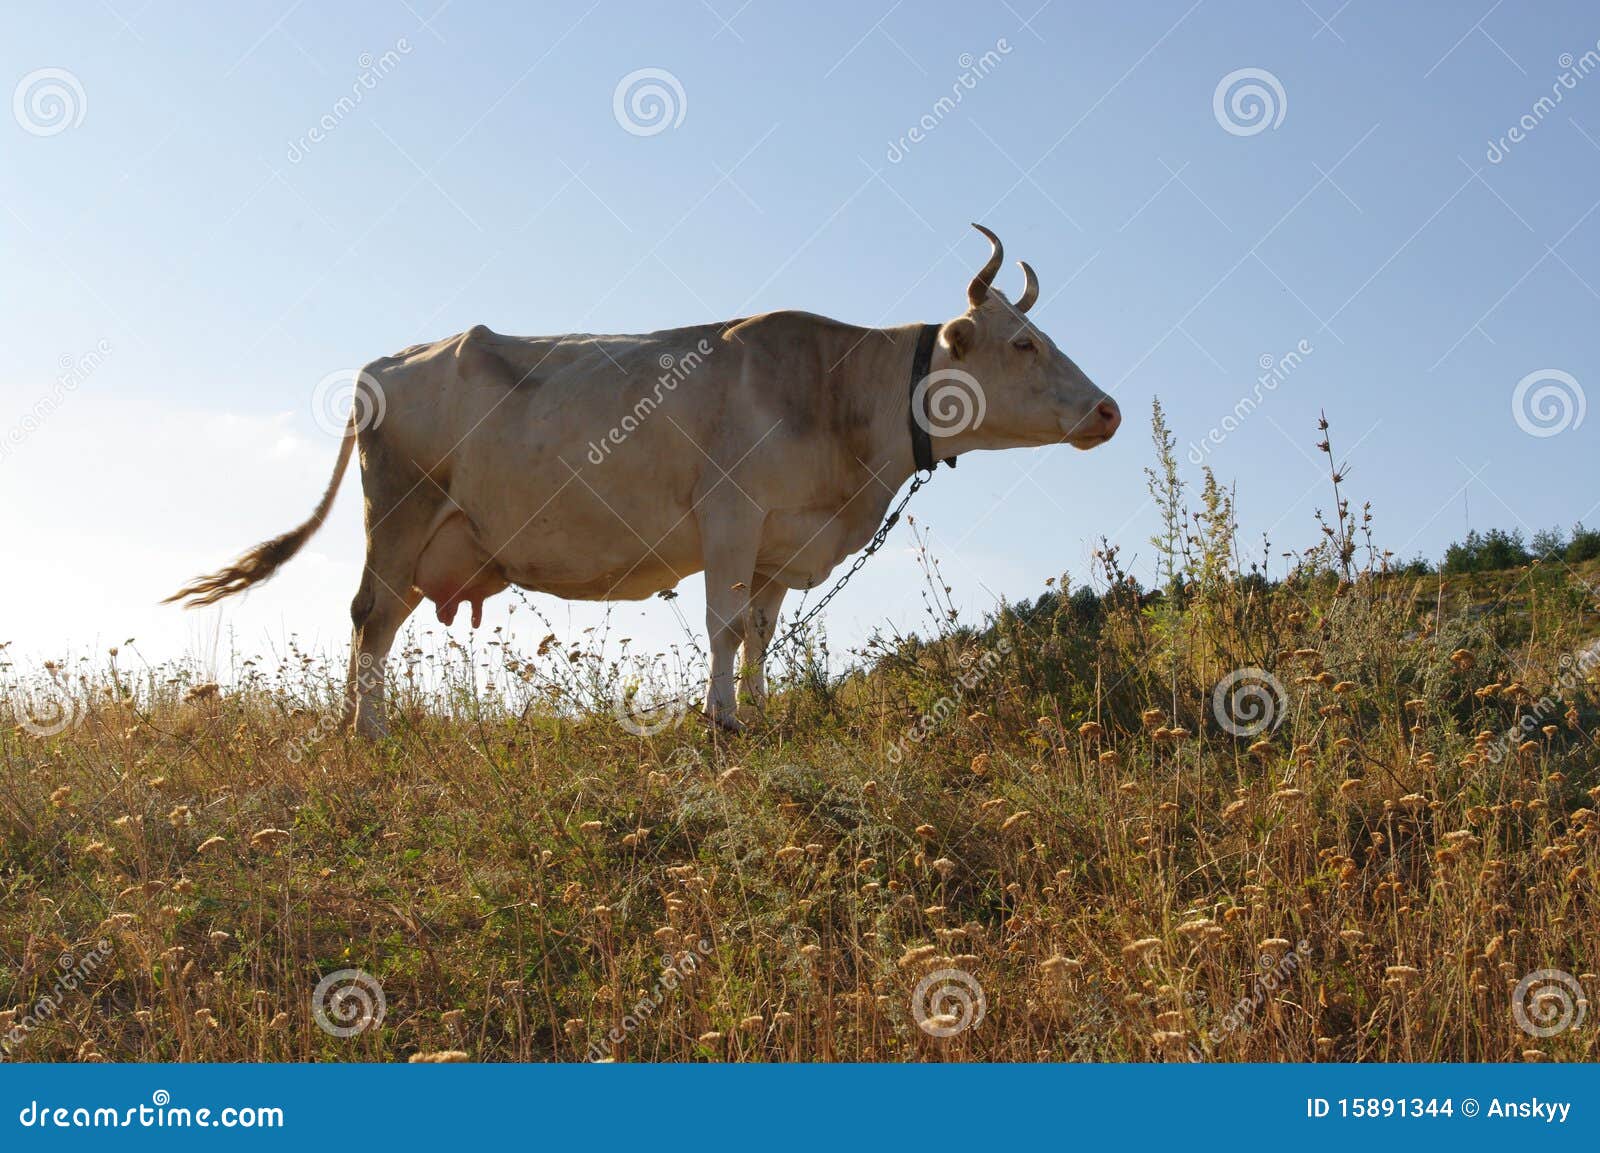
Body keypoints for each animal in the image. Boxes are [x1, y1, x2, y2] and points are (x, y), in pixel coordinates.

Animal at [167, 224, 1120, 735]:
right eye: (1023, 343)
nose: (1109, 409)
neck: (836, 393)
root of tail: (387, 361)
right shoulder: (732, 516)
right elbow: (725, 626)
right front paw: (721, 719)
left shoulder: (777, 544)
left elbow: (764, 633)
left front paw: (760, 714)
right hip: (396, 516)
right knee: (367, 622)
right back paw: (366, 731)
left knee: (380, 624)